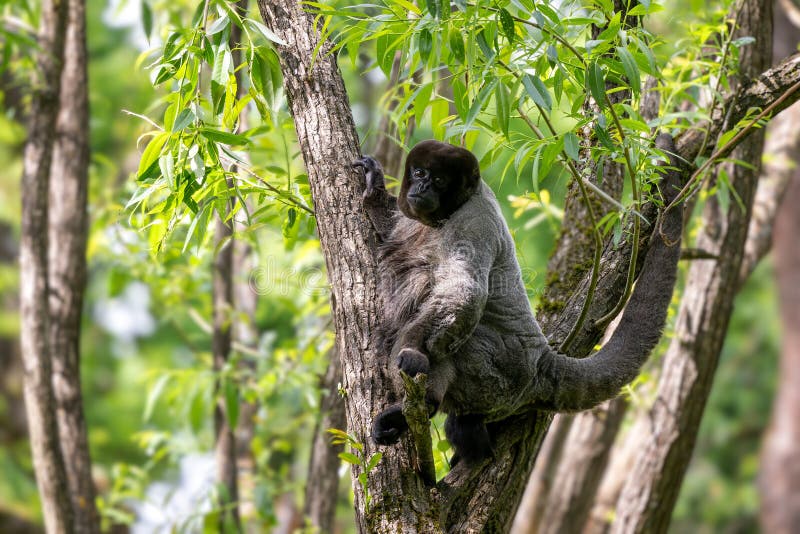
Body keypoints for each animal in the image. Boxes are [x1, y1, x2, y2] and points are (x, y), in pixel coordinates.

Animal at [351, 135, 683, 466]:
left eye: (440, 180)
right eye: (420, 172)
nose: (423, 187)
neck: (440, 219)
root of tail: (541, 360)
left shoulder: (473, 222)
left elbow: (465, 293)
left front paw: (412, 351)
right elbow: (390, 230)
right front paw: (373, 189)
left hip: (502, 374)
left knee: (453, 340)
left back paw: (424, 405)